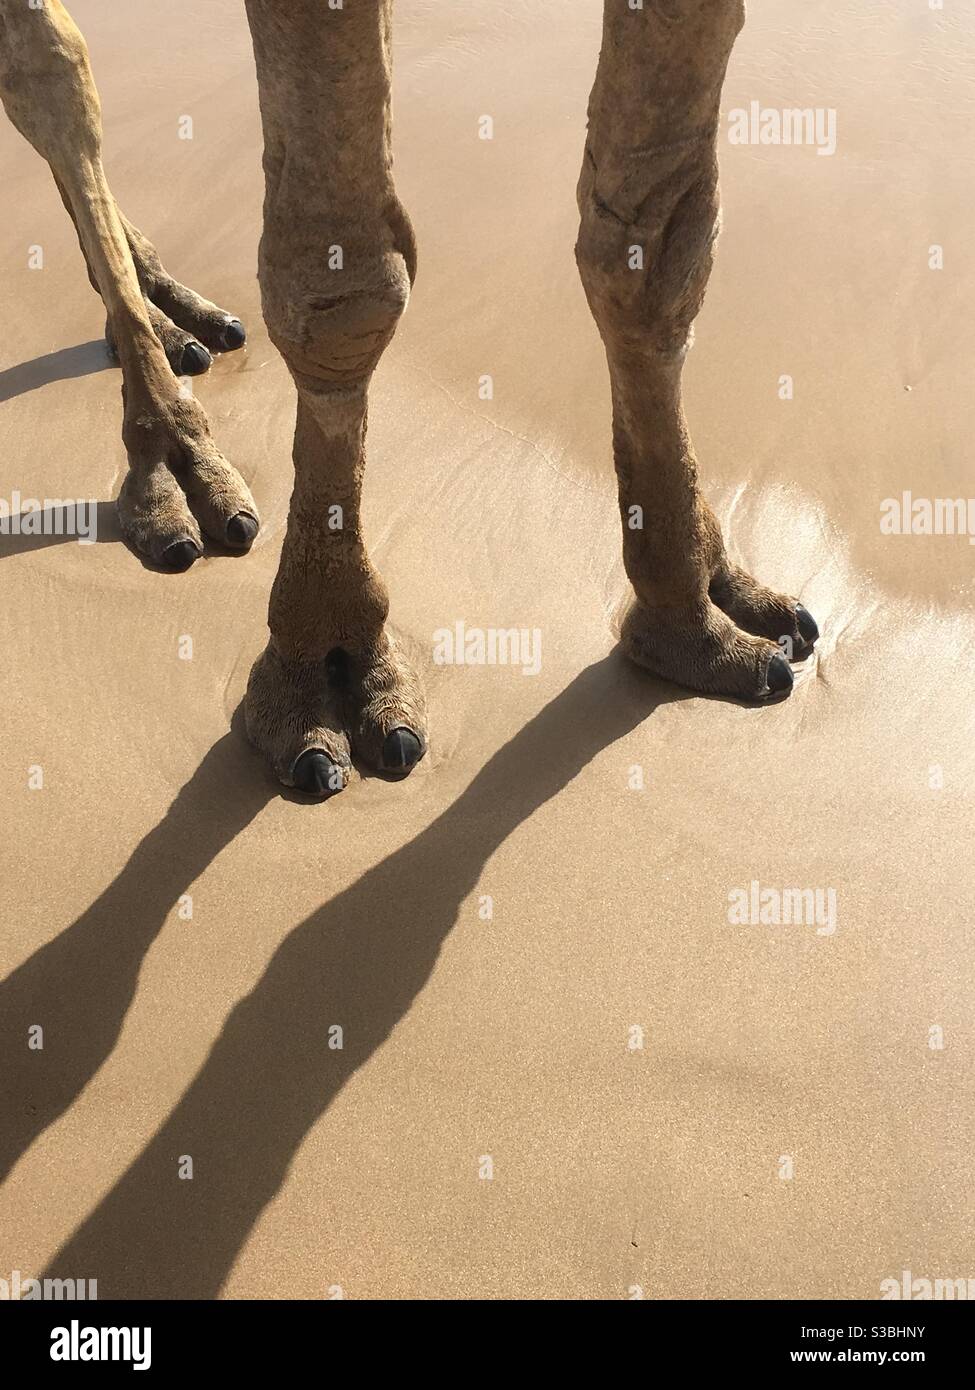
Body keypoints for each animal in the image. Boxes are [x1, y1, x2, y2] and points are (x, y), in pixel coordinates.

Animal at [0, 0, 819, 798]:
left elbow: (654, 245)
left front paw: (693, 616)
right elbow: (338, 282)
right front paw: (323, 663)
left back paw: (156, 305)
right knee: (51, 67)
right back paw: (171, 439)